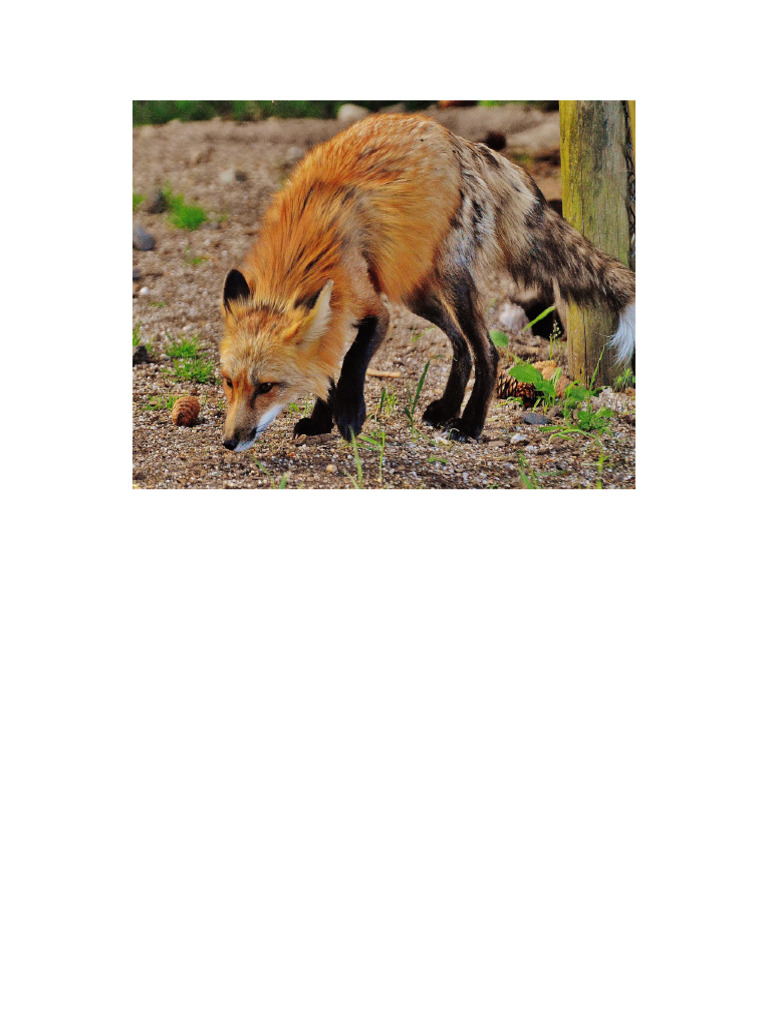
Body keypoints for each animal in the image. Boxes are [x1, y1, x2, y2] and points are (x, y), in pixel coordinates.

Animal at [219, 113, 635, 451]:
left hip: (450, 282)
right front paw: (322, 420)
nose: (229, 441)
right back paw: (448, 409)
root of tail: (459, 141)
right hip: (414, 289)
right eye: (228, 382)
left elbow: (350, 362)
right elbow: (328, 366)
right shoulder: (334, 314)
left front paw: (349, 415)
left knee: (487, 351)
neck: (303, 250)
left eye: (267, 386)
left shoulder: (373, 309)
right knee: (461, 347)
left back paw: (469, 425)